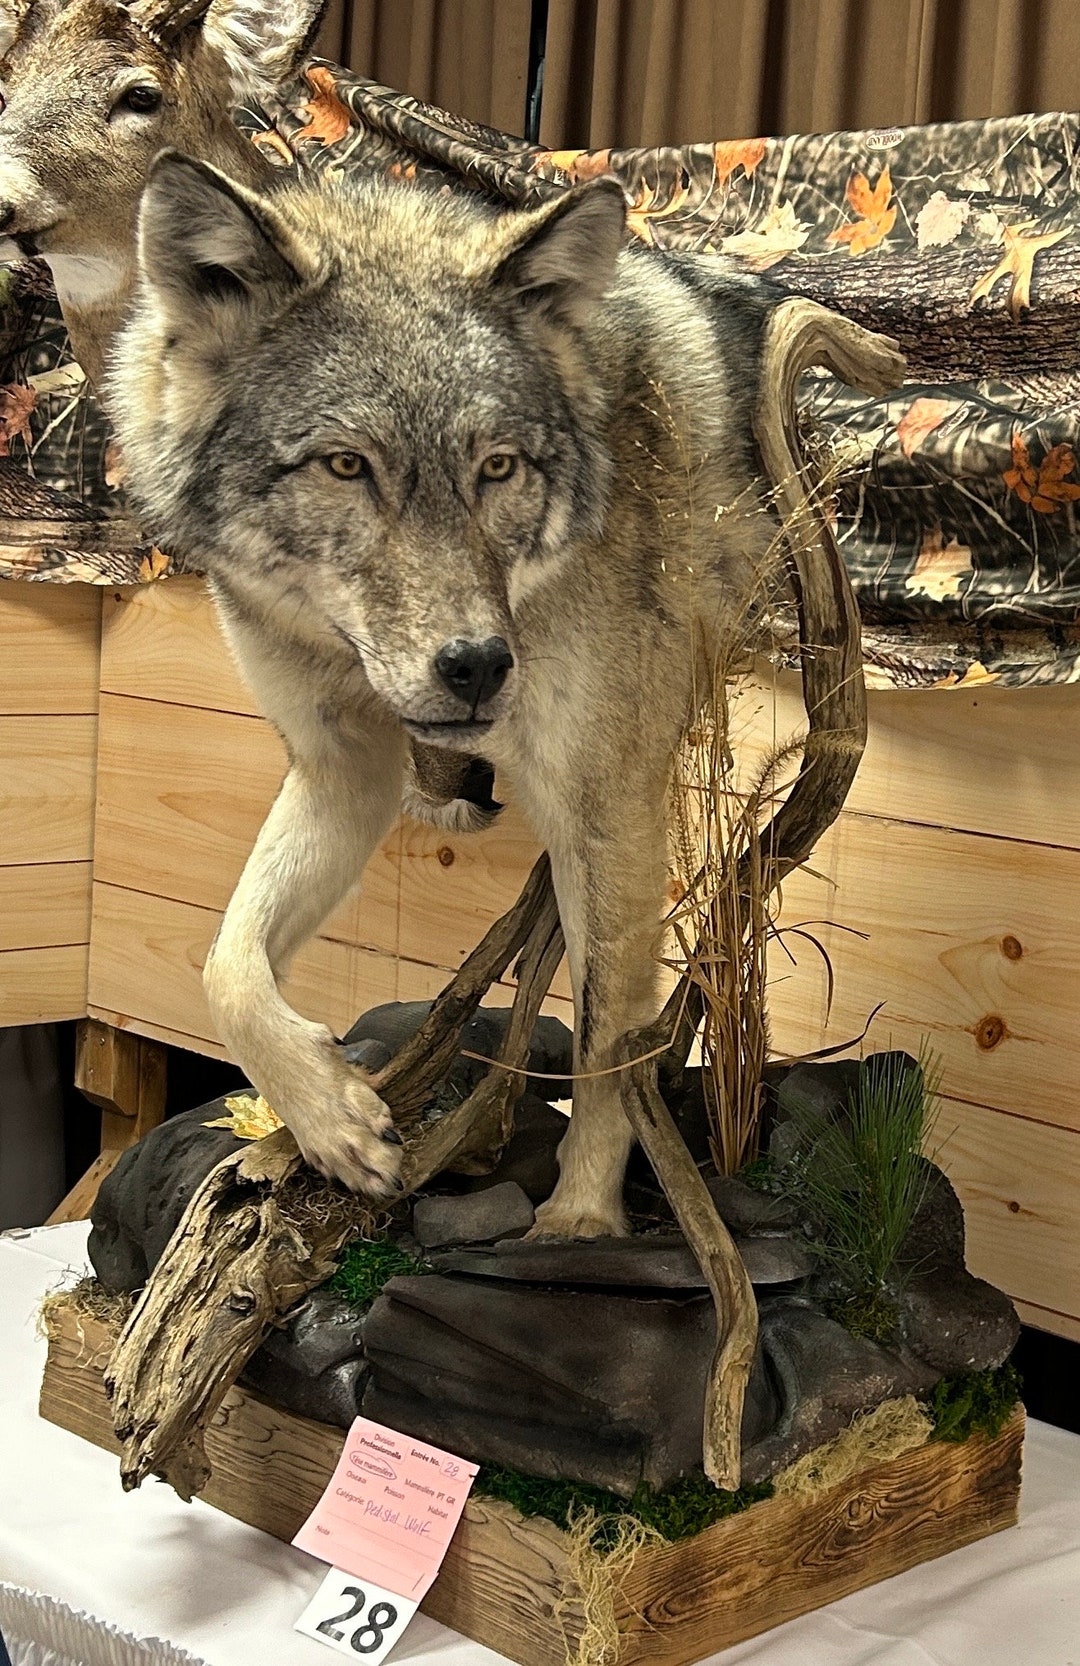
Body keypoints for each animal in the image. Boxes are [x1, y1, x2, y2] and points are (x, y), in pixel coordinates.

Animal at [108, 150, 781, 1239]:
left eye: (496, 467)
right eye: (347, 465)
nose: (476, 665)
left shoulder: (613, 807)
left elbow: (607, 1046)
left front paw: (580, 1221)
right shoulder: (345, 771)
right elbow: (227, 965)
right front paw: (327, 1121)